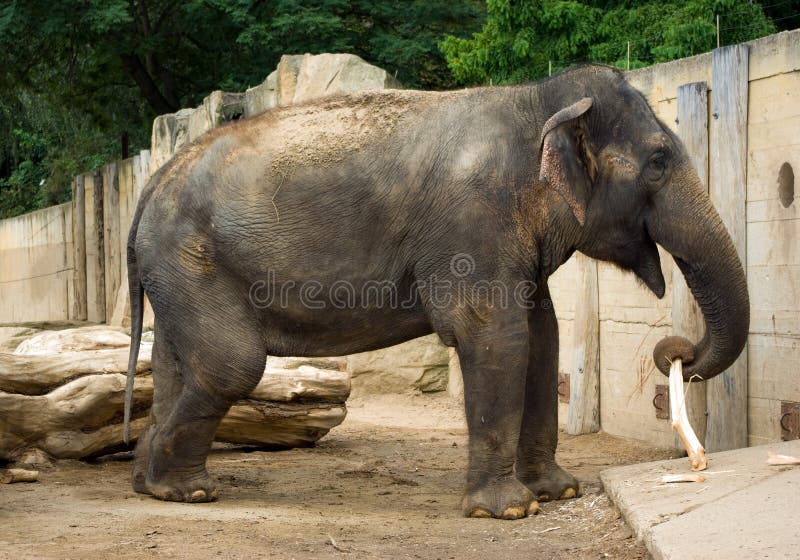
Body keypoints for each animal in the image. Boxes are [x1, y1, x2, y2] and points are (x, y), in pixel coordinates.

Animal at [123, 64, 749, 519]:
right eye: (659, 162)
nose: (675, 352)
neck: (532, 99)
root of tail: (152, 182)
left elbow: (541, 337)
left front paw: (559, 493)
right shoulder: (474, 219)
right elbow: (496, 336)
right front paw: (509, 511)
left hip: (177, 271)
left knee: (176, 362)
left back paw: (149, 483)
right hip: (192, 260)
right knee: (231, 363)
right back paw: (188, 492)